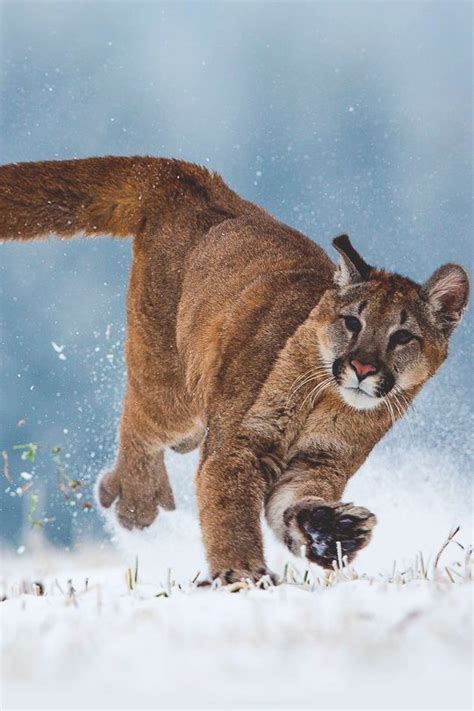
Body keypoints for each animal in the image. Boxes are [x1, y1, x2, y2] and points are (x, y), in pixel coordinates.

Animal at [0, 157, 469, 583]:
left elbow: (293, 505)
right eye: (353, 321)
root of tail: (183, 175)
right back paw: (137, 499)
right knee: (140, 420)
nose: (361, 366)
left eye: (402, 336)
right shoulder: (237, 447)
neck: (325, 398)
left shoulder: (318, 464)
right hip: (171, 388)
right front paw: (241, 573)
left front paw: (333, 532)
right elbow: (229, 510)